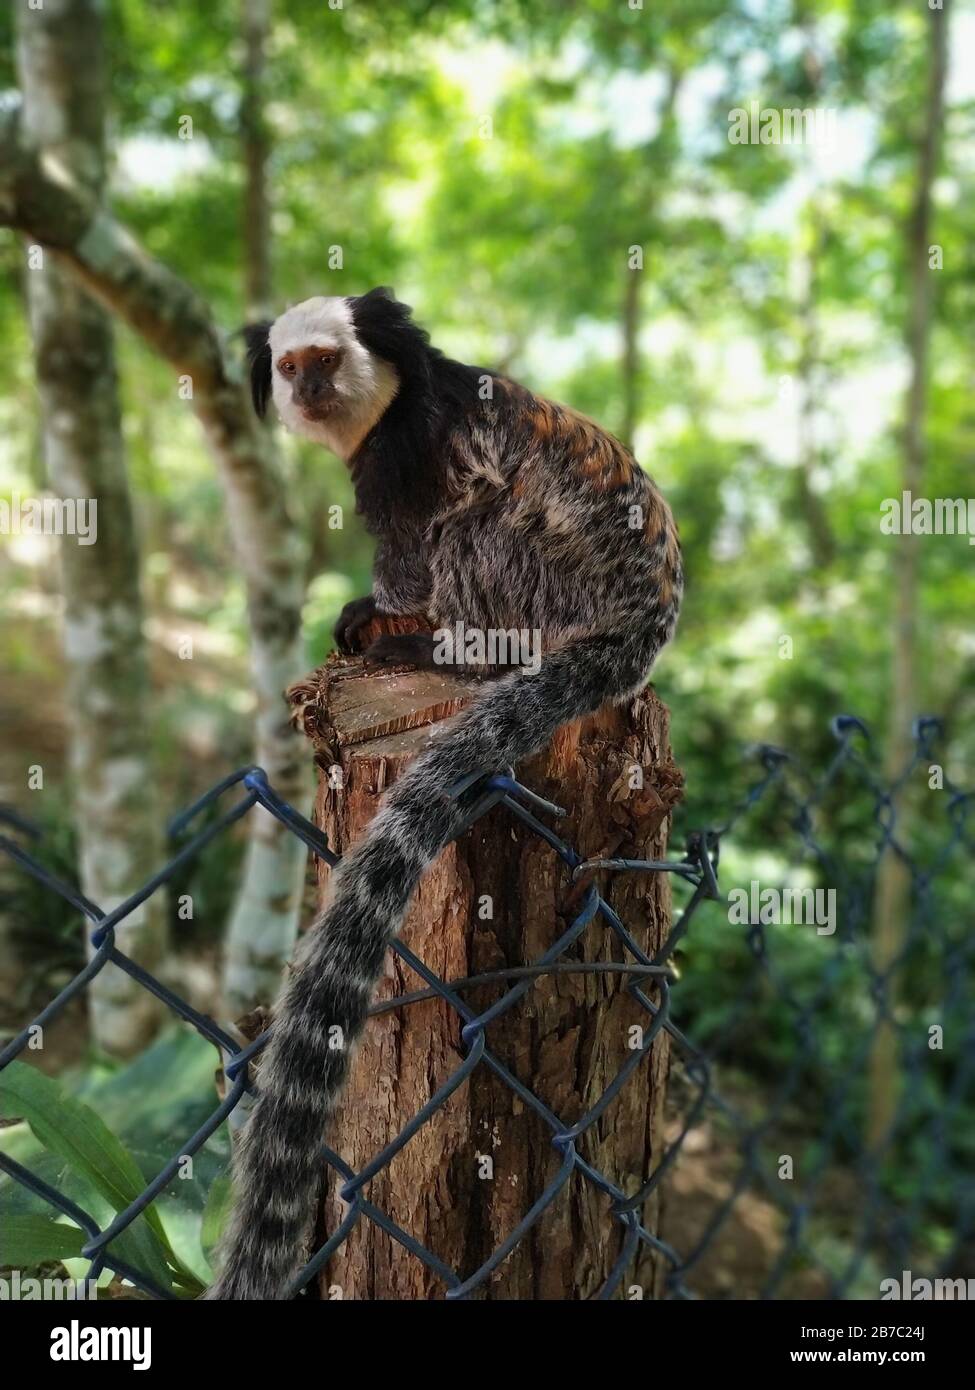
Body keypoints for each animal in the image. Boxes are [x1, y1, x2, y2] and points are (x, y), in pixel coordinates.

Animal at [206, 287, 682, 1299]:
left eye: (323, 359)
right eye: (286, 365)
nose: (305, 388)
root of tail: (646, 617)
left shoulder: (408, 457)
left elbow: (416, 548)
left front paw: (384, 616)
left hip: (542, 587)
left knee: (478, 527)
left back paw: (438, 648)